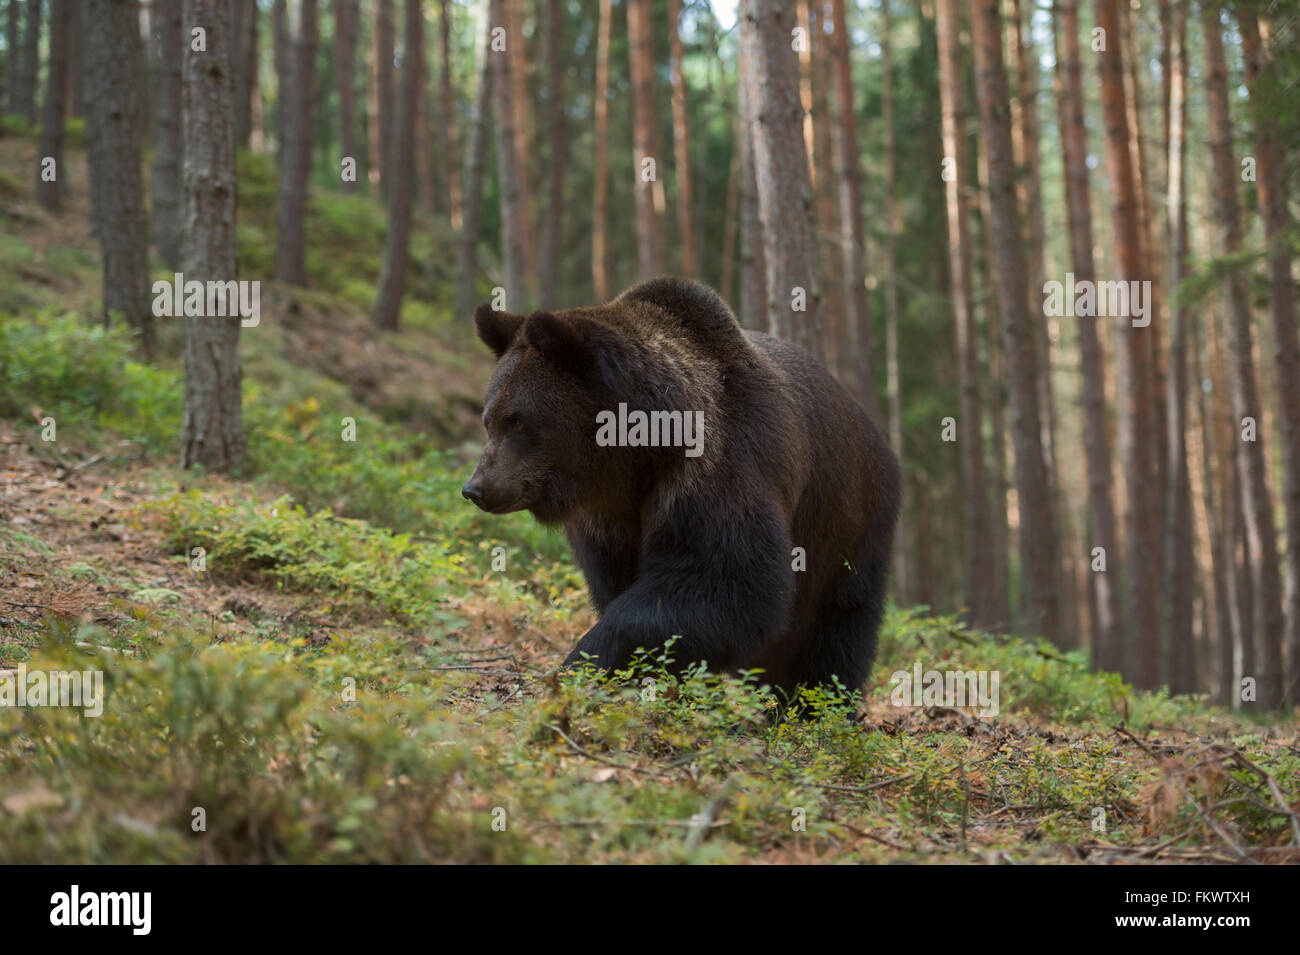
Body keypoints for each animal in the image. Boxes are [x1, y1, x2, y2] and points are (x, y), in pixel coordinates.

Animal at [464, 277, 900, 697]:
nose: (476, 488)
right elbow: (623, 586)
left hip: (849, 521)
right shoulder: (606, 518)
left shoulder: (715, 468)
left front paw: (585, 662)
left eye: (518, 420)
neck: (635, 458)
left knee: (837, 627)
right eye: (489, 419)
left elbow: (724, 581)